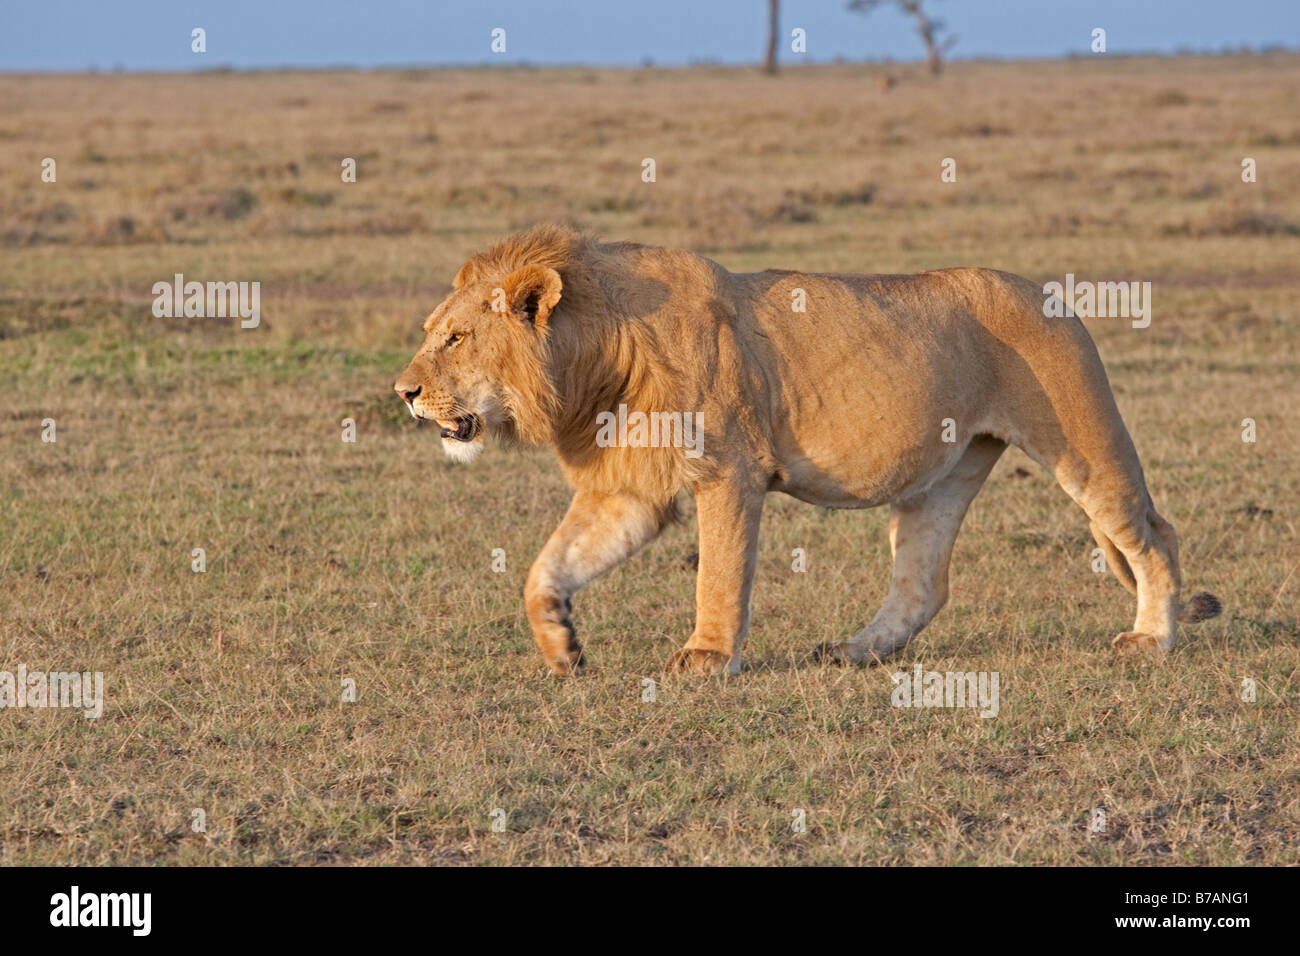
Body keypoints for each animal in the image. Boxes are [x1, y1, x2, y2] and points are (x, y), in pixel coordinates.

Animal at [394, 225, 1221, 676]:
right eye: (434, 330)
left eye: (456, 338)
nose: (403, 392)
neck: (592, 357)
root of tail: (1051, 295)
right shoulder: (630, 489)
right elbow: (546, 568)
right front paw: (562, 647)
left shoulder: (728, 471)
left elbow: (721, 575)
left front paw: (707, 658)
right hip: (943, 475)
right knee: (922, 584)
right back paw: (854, 652)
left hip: (1080, 438)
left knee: (1152, 534)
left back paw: (1152, 640)